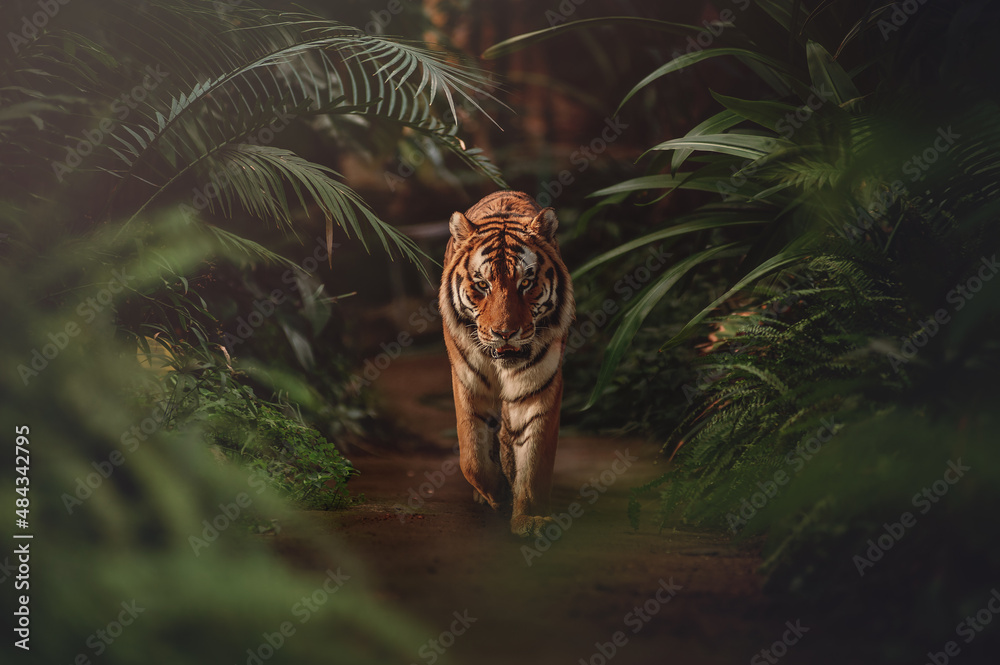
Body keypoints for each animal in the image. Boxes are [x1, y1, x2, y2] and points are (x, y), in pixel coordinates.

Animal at [438, 190, 575, 537]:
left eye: (525, 283)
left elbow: (535, 461)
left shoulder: (538, 389)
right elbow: (472, 457)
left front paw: (531, 518)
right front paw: (497, 494)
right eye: (482, 285)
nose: (505, 333)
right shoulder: (468, 384)